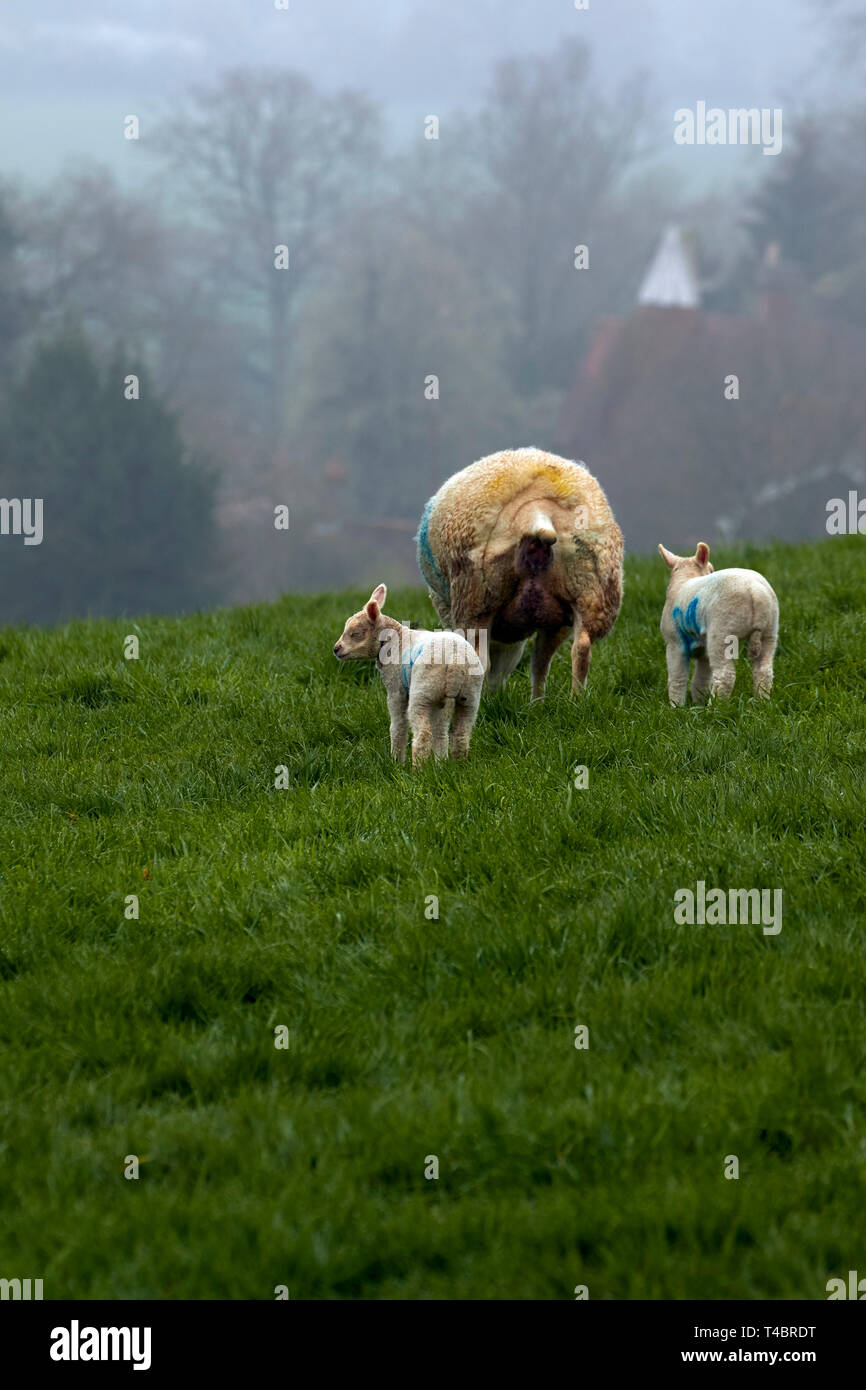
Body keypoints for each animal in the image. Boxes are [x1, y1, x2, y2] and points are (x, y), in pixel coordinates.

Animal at [333, 583, 484, 765]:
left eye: (356, 633)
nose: (336, 649)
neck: (393, 639)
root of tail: (456, 660)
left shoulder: (396, 690)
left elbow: (397, 726)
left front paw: (396, 761)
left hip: (423, 690)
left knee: (424, 733)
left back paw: (418, 767)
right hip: (469, 694)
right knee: (458, 732)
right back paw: (453, 764)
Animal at [416, 447, 623, 701]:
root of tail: (537, 513)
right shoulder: (556, 621)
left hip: (476, 598)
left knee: (482, 659)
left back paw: (487, 701)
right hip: (589, 593)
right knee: (575, 650)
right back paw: (561, 701)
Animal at [658, 541, 779, 704]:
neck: (684, 580)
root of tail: (755, 590)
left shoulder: (674, 643)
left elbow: (677, 679)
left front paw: (676, 705)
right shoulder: (703, 649)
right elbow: (701, 679)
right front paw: (698, 703)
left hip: (722, 631)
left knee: (725, 674)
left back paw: (716, 706)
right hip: (770, 629)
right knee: (763, 669)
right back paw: (761, 702)